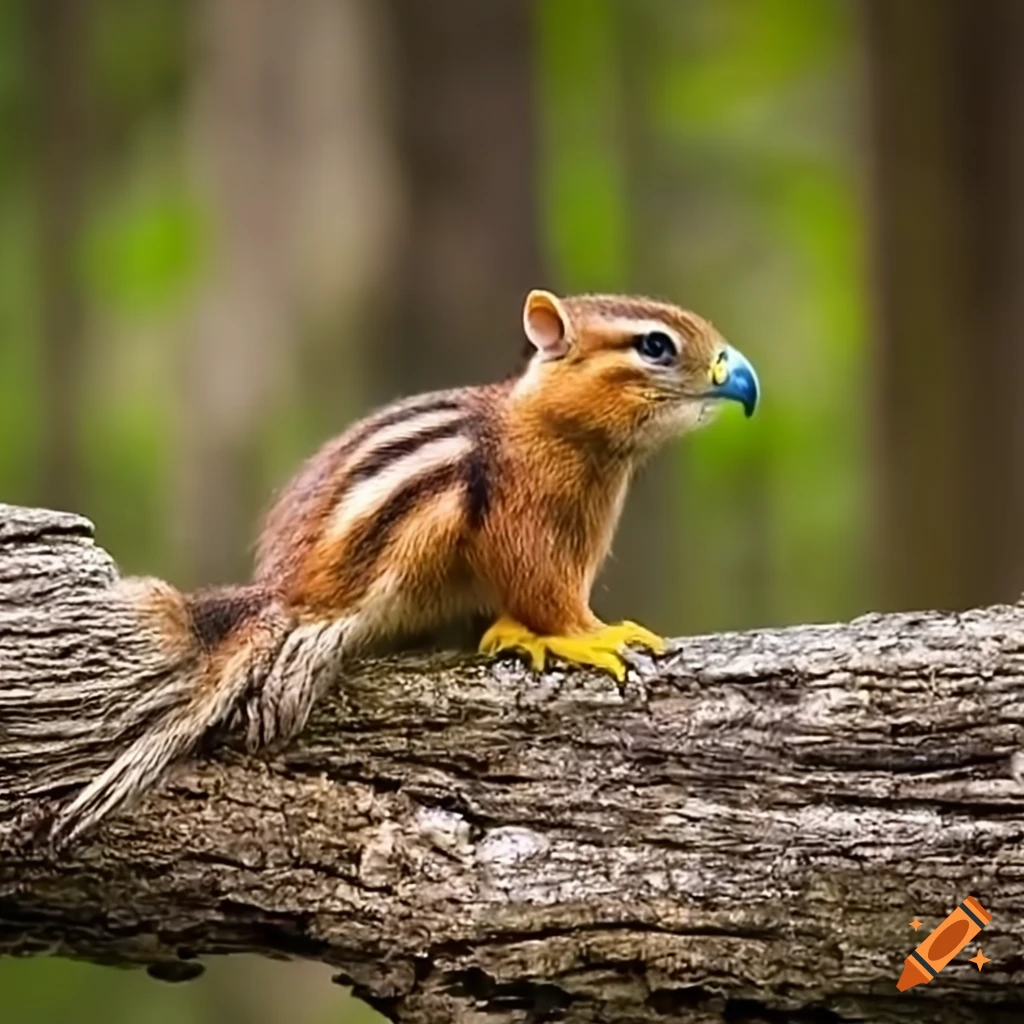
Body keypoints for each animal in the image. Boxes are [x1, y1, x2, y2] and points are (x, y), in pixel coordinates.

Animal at [47, 289, 759, 845]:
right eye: (656, 346)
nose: (744, 379)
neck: (552, 427)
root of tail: (287, 595)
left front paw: (531, 631)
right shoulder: (521, 517)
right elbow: (544, 590)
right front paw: (589, 637)